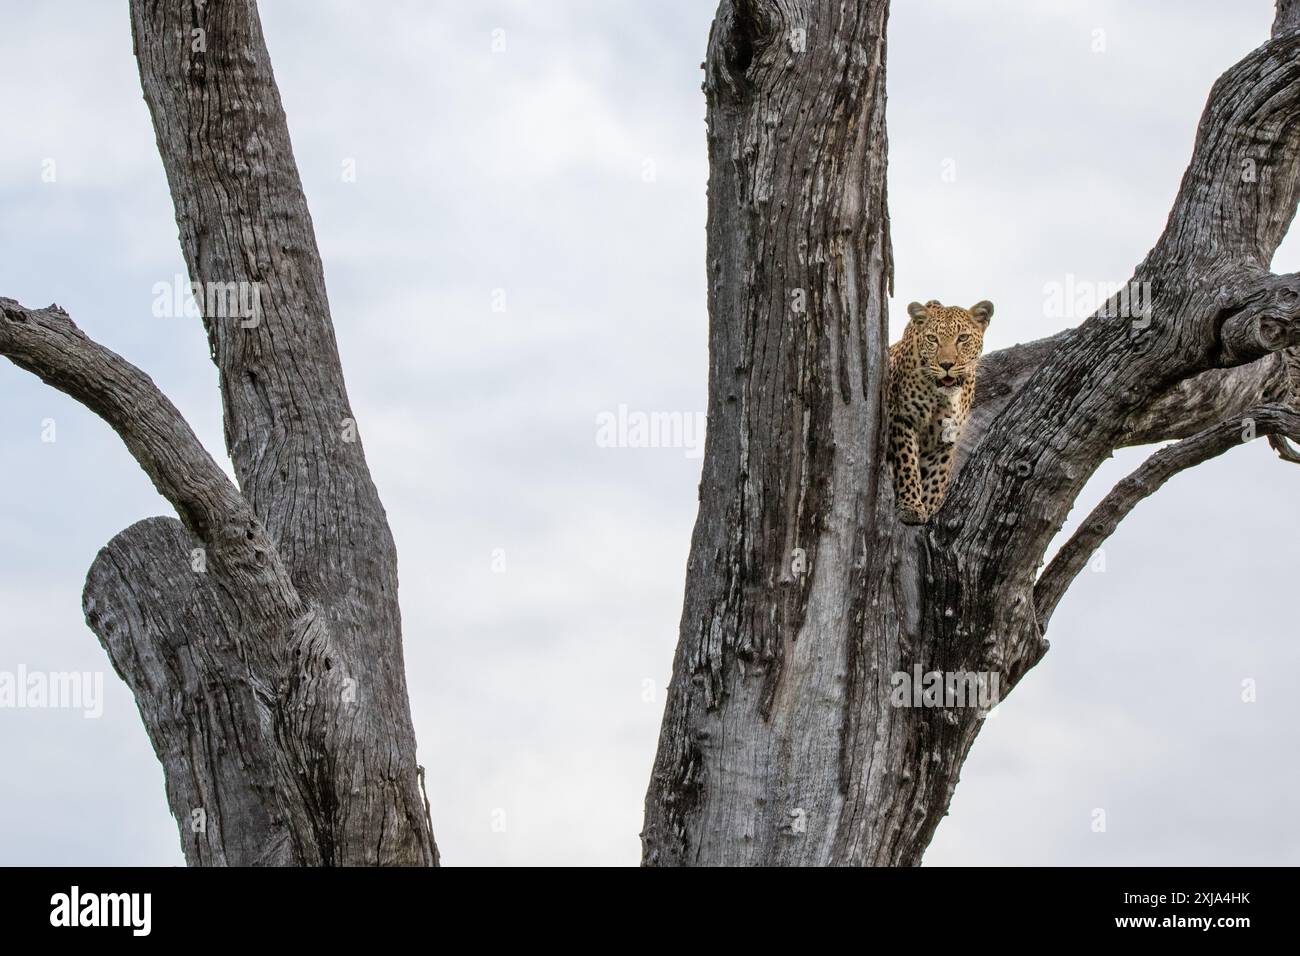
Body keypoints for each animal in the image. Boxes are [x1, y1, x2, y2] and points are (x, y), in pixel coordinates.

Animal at [887, 298, 993, 524]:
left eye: (963, 338)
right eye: (932, 339)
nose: (946, 365)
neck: (941, 396)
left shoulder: (946, 437)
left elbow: (936, 477)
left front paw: (928, 507)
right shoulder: (903, 418)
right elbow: (907, 463)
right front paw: (911, 507)